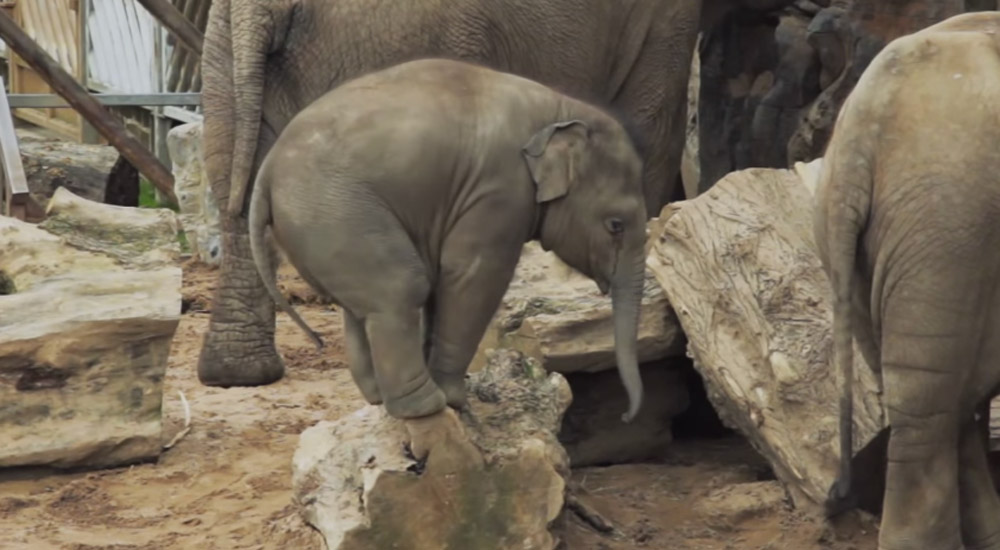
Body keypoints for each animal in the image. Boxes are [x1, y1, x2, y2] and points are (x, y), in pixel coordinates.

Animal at [247, 58, 649, 427]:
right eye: (616, 225)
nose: (625, 415)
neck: (560, 108)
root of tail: (267, 169)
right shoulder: (498, 191)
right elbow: (475, 276)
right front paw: (458, 401)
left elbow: (444, 282)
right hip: (335, 210)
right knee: (402, 287)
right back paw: (425, 406)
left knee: (363, 305)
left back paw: (380, 400)